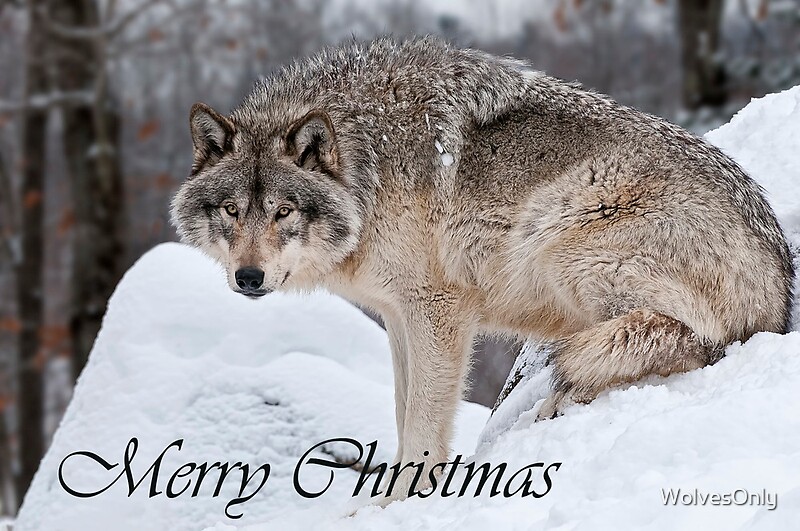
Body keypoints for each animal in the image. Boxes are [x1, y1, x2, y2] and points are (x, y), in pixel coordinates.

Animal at [171, 36, 793, 503]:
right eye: (232, 211)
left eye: (283, 212)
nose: (248, 278)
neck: (368, 167)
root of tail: (781, 277)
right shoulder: (398, 316)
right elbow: (403, 412)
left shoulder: (438, 310)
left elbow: (423, 423)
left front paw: (397, 506)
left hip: (562, 229)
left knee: (691, 340)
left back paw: (566, 396)